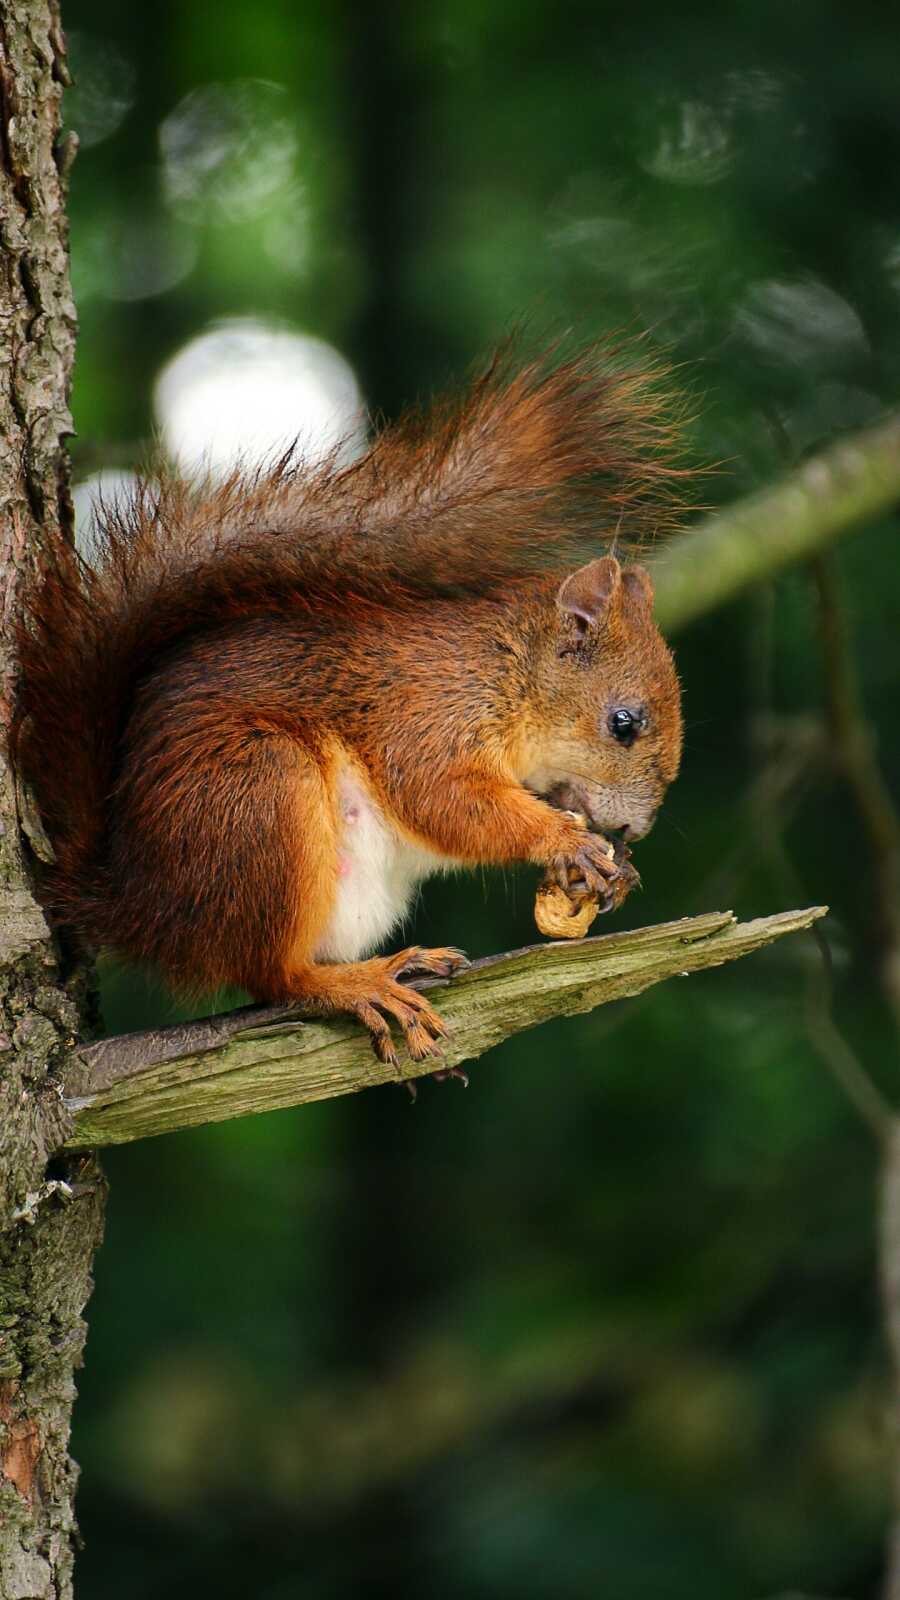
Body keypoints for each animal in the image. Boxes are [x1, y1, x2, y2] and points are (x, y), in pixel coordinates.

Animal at [13, 340, 686, 1067]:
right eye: (624, 723)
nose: (635, 830)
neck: (505, 668)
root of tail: (135, 905)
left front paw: (617, 870)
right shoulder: (425, 713)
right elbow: (443, 797)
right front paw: (565, 840)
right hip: (259, 800)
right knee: (273, 976)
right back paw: (359, 983)